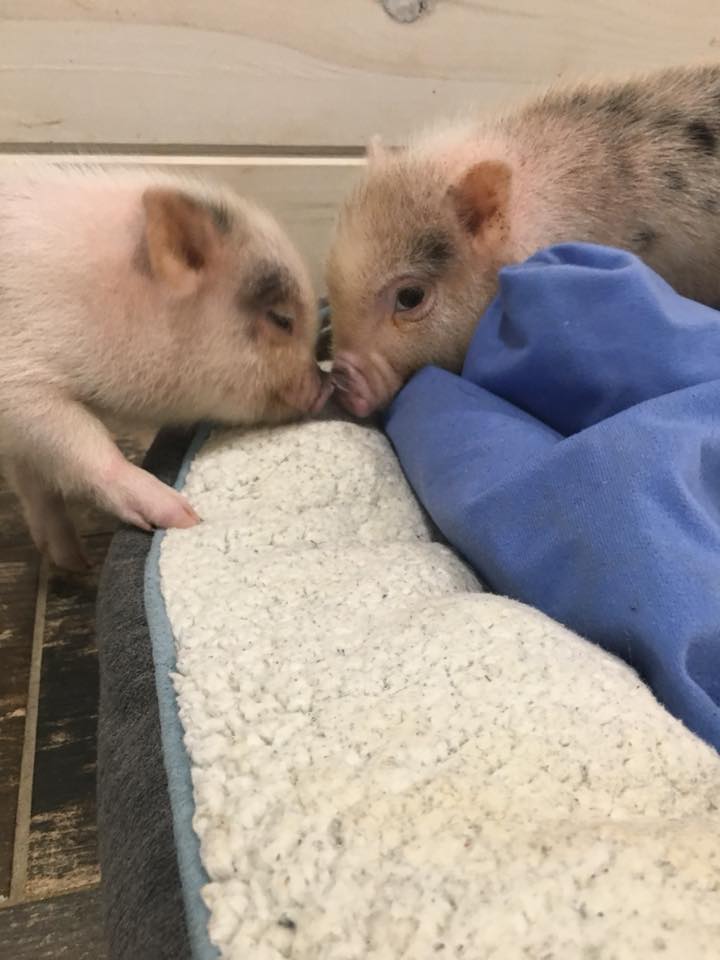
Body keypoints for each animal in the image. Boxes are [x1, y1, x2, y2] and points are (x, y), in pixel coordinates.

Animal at [0, 164, 331, 570]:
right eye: (282, 319)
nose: (327, 385)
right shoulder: (18, 384)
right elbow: (83, 441)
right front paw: (185, 517)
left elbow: (34, 480)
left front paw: (74, 564)